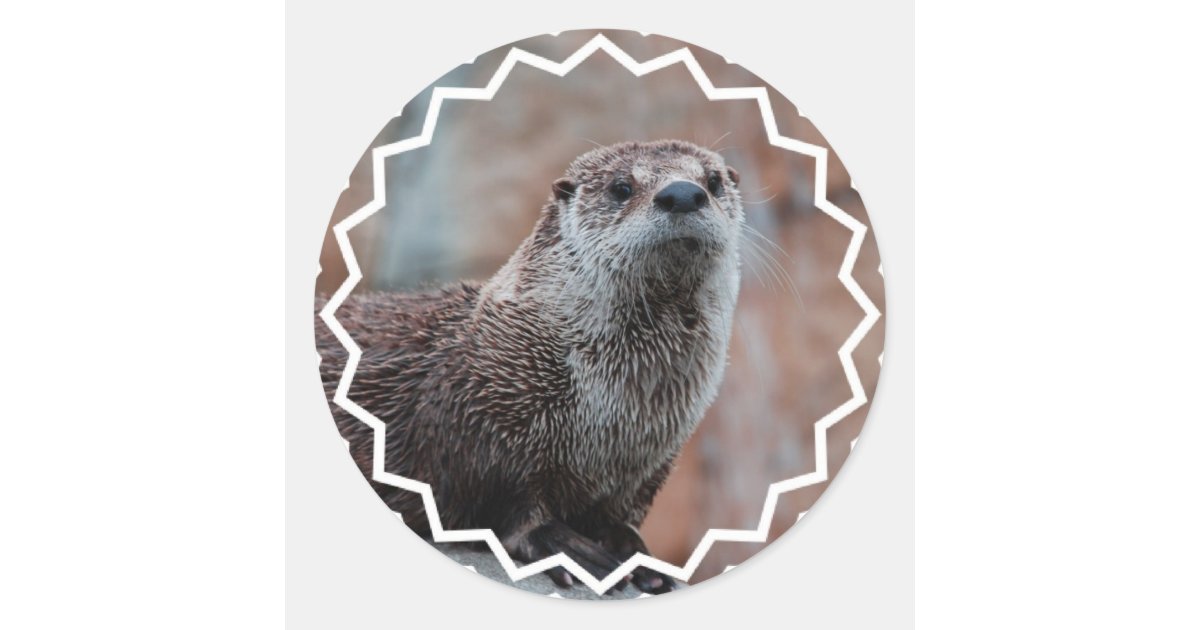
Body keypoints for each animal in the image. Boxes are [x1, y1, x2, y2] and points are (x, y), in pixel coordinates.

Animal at [316, 139, 743, 594]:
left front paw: (636, 554)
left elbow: (620, 513)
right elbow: (501, 502)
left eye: (712, 182)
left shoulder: (651, 458)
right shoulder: (477, 422)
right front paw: (563, 546)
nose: (682, 194)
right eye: (621, 187)